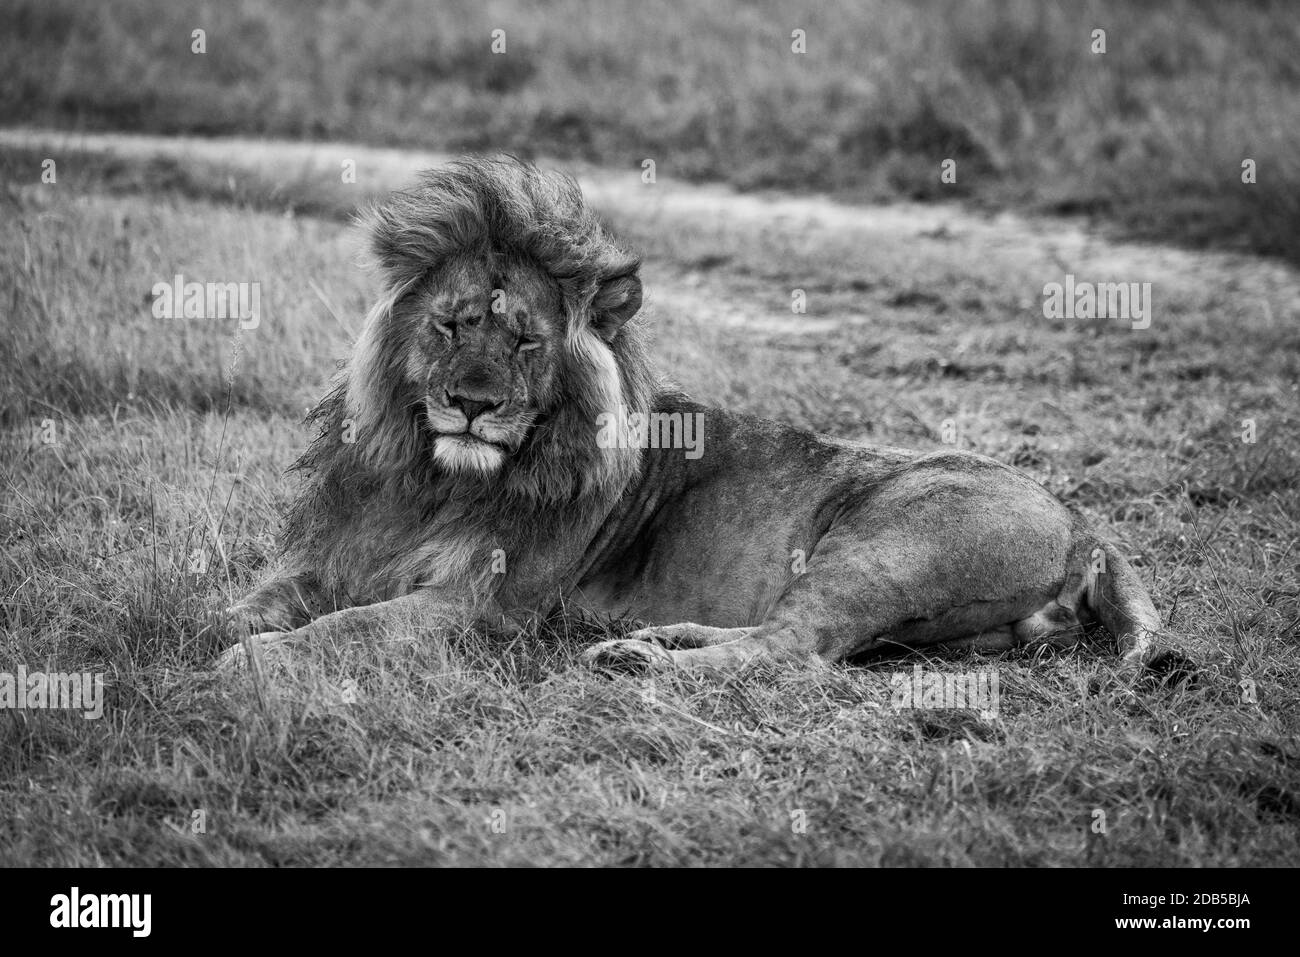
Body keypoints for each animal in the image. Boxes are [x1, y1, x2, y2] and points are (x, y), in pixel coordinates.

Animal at [218, 156, 1175, 678]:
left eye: (526, 341)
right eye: (451, 325)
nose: (472, 403)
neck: (433, 479)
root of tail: (1087, 525)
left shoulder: (486, 604)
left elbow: (353, 624)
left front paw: (255, 662)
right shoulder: (335, 550)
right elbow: (261, 594)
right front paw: (213, 628)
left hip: (888, 545)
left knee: (793, 653)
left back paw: (638, 661)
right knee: (788, 637)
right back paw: (649, 640)